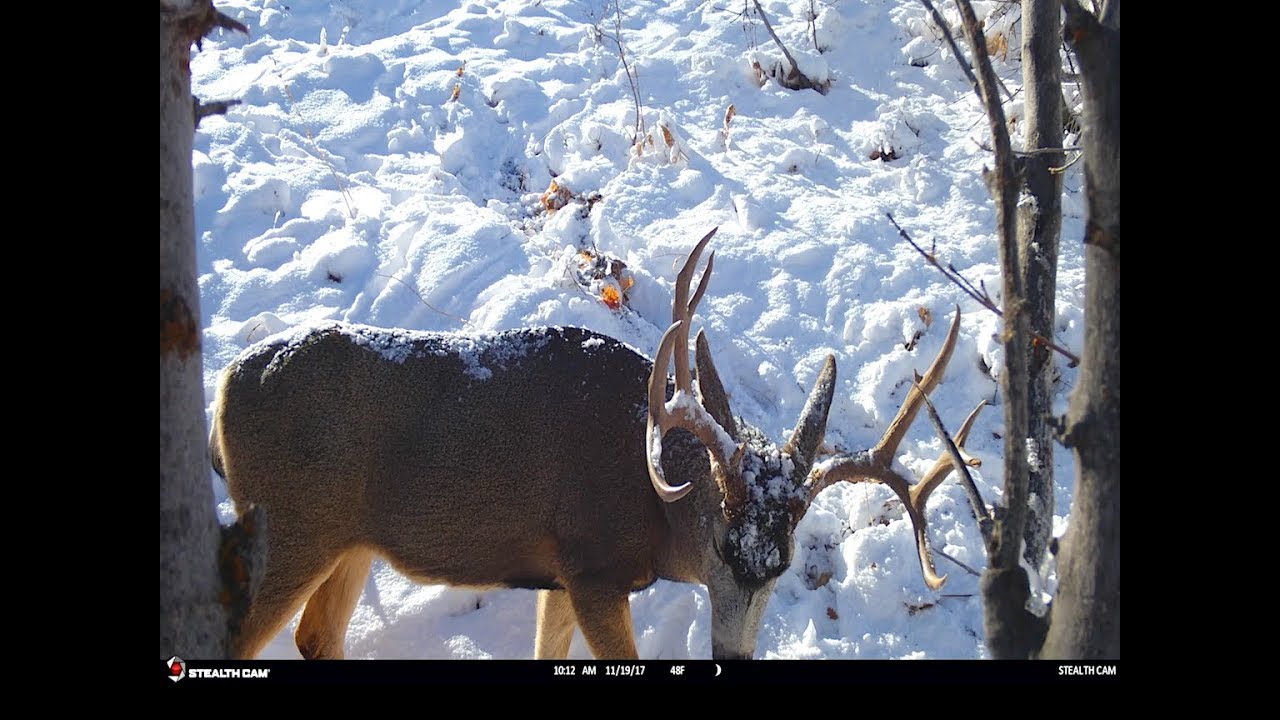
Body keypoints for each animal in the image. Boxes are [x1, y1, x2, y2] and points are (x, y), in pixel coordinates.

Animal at [210, 227, 980, 660]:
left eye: (781, 566)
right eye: (721, 541)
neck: (654, 505)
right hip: (293, 526)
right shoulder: (592, 563)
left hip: (350, 540)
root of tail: (224, 384)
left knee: (317, 637)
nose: (731, 654)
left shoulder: (561, 574)